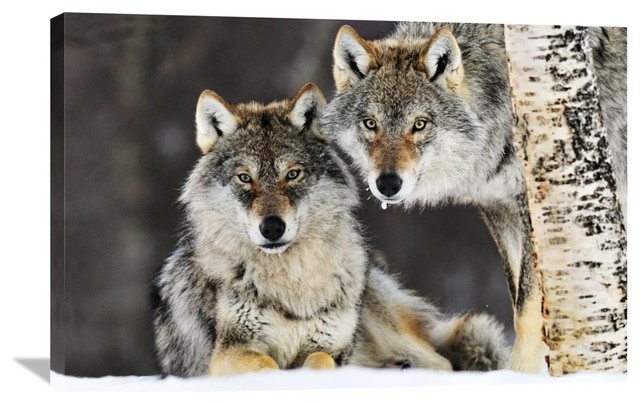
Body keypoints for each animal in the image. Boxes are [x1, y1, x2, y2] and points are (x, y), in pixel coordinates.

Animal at [151, 82, 509, 377]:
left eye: (293, 174)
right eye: (245, 178)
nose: (272, 227)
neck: (292, 280)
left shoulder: (329, 346)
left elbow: (321, 361)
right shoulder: (229, 352)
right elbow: (265, 364)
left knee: (443, 363)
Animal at [321, 23, 626, 373]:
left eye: (420, 124)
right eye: (370, 124)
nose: (387, 184)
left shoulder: (533, 209)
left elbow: (527, 308)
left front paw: (519, 374)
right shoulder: (499, 207)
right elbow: (517, 299)